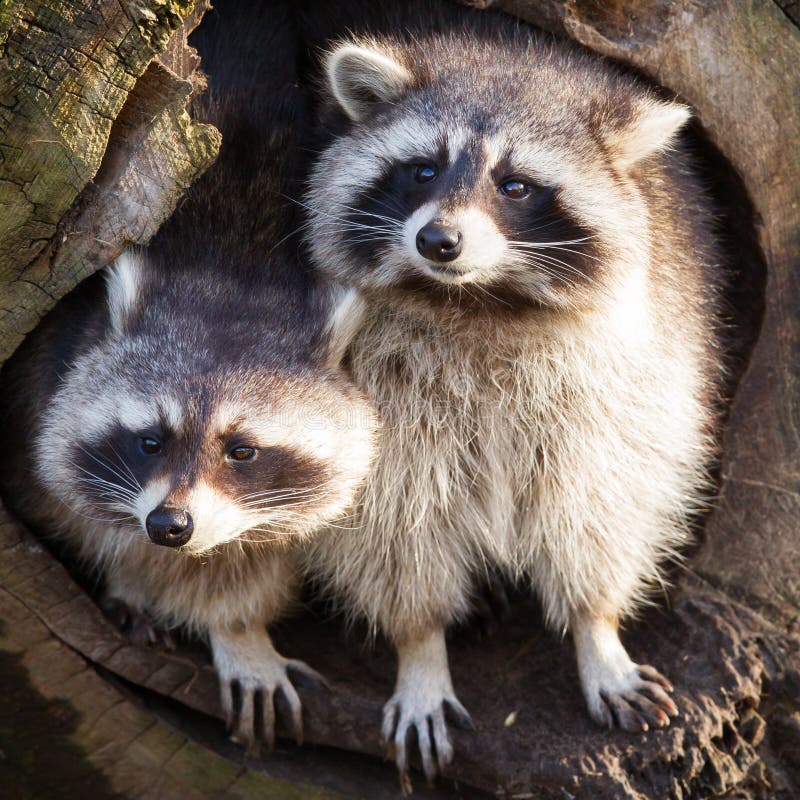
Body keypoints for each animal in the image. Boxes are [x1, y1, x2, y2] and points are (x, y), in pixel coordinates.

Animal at [0, 1, 376, 753]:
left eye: (243, 450)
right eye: (150, 439)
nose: (170, 525)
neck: (232, 269)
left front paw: (240, 630)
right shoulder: (39, 386)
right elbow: (69, 506)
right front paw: (132, 583)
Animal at [299, 0, 721, 780]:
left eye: (515, 185)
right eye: (422, 169)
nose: (439, 241)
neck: (480, 301)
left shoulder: (636, 369)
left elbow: (604, 502)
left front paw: (598, 628)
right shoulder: (375, 391)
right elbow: (388, 524)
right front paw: (420, 647)